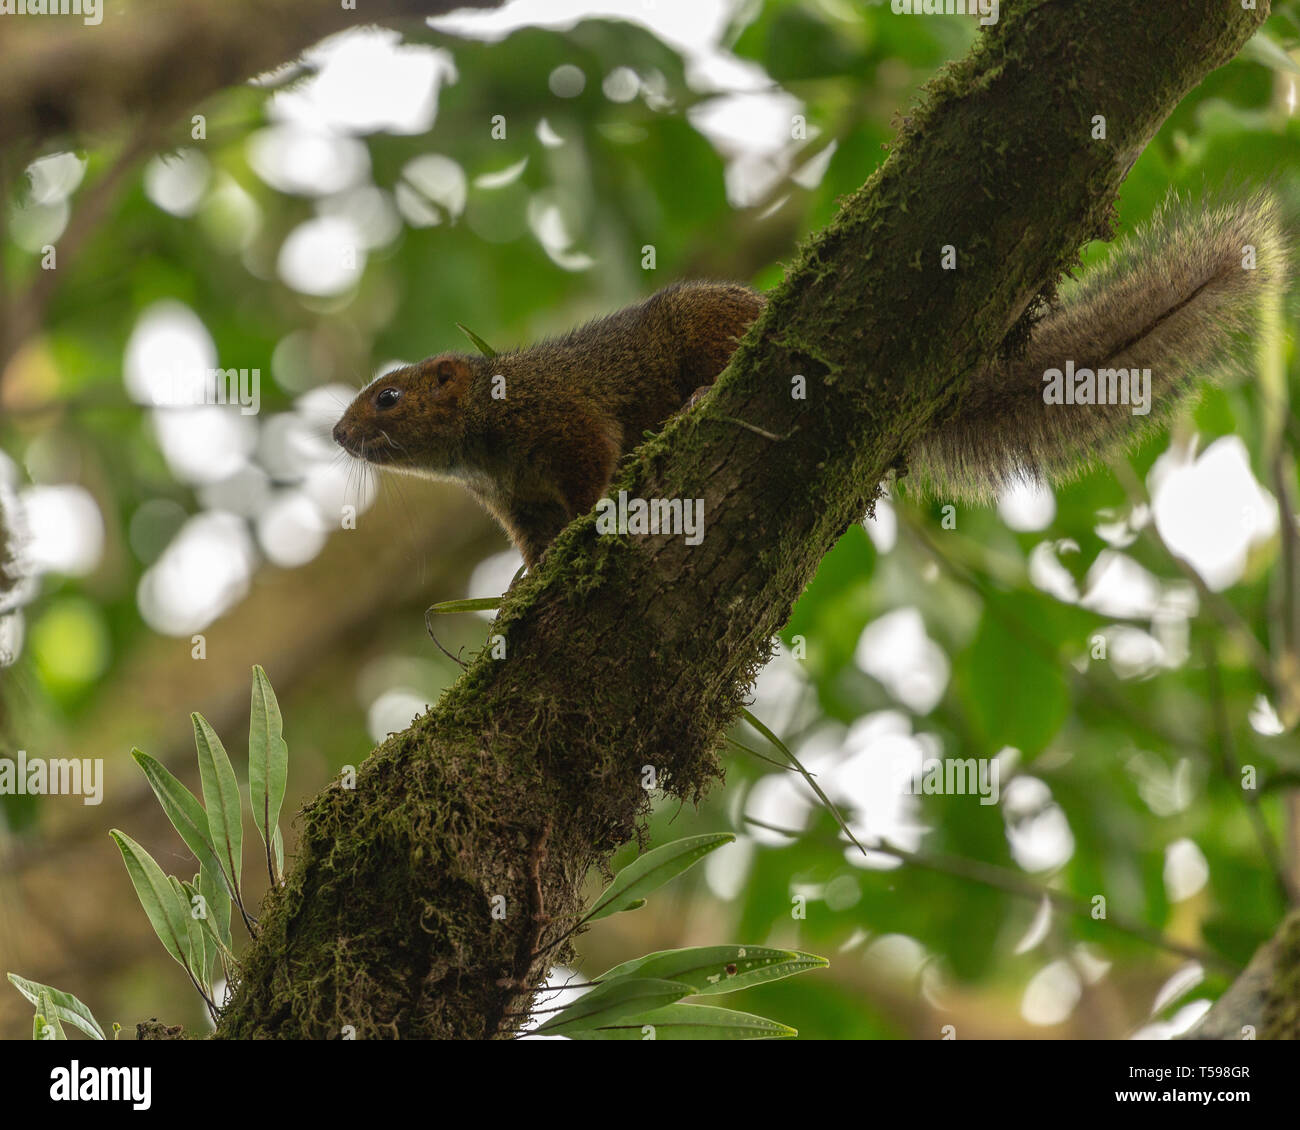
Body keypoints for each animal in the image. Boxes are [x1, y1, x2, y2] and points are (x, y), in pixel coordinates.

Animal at [333, 192, 1287, 567]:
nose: (339, 434)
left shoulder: (560, 416)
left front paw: (599, 508)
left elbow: (596, 457)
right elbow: (535, 547)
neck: (483, 451)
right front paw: (518, 593)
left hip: (709, 331)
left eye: (390, 396)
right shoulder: (519, 502)